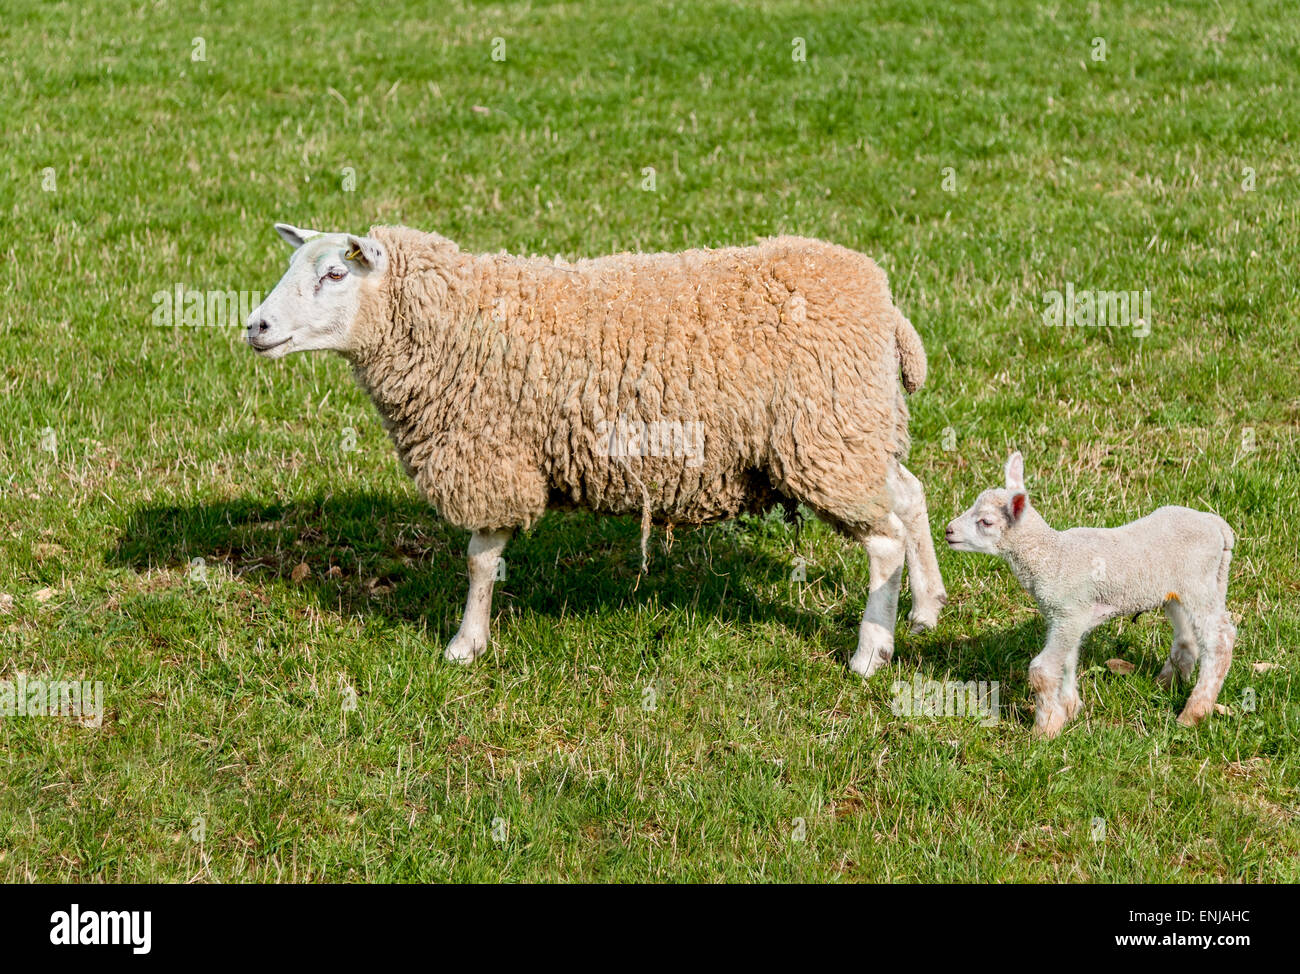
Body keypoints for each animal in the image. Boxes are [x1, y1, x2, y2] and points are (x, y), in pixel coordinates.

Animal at [245, 222, 947, 673]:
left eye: (335, 273)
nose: (255, 326)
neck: (457, 323)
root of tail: (882, 302)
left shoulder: (496, 455)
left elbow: (479, 560)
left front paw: (464, 645)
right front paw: (471, 640)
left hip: (824, 439)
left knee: (884, 541)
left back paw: (869, 654)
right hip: (855, 432)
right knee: (909, 496)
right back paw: (927, 608)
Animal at [945, 451, 1236, 735]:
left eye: (986, 521)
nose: (948, 530)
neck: (1052, 556)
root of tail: (1217, 525)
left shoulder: (1071, 612)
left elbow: (1042, 671)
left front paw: (1045, 729)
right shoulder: (1064, 615)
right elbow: (1067, 662)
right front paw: (1069, 709)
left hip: (1199, 582)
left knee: (1221, 639)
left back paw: (1194, 712)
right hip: (1186, 587)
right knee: (1188, 636)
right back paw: (1167, 683)